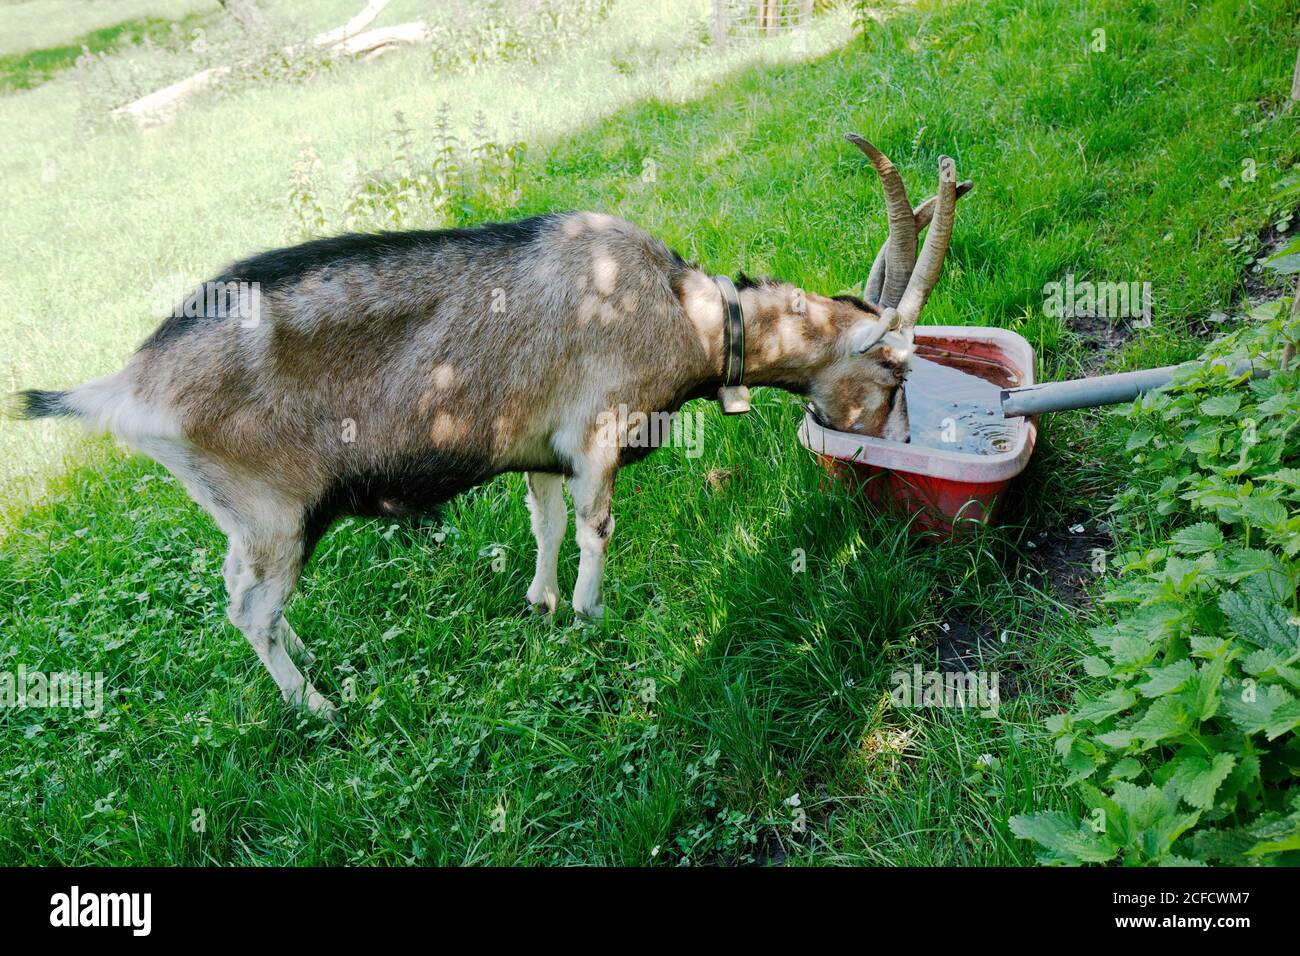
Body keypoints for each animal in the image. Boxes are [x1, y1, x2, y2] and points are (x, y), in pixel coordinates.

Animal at [12, 134, 966, 719]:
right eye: (894, 369)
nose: (889, 444)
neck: (682, 310)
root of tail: (124, 387)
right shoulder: (597, 432)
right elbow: (593, 526)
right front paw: (588, 614)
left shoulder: (539, 444)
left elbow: (542, 519)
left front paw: (541, 603)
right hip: (275, 511)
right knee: (247, 608)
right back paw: (315, 704)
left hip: (240, 517)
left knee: (243, 597)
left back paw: (310, 658)